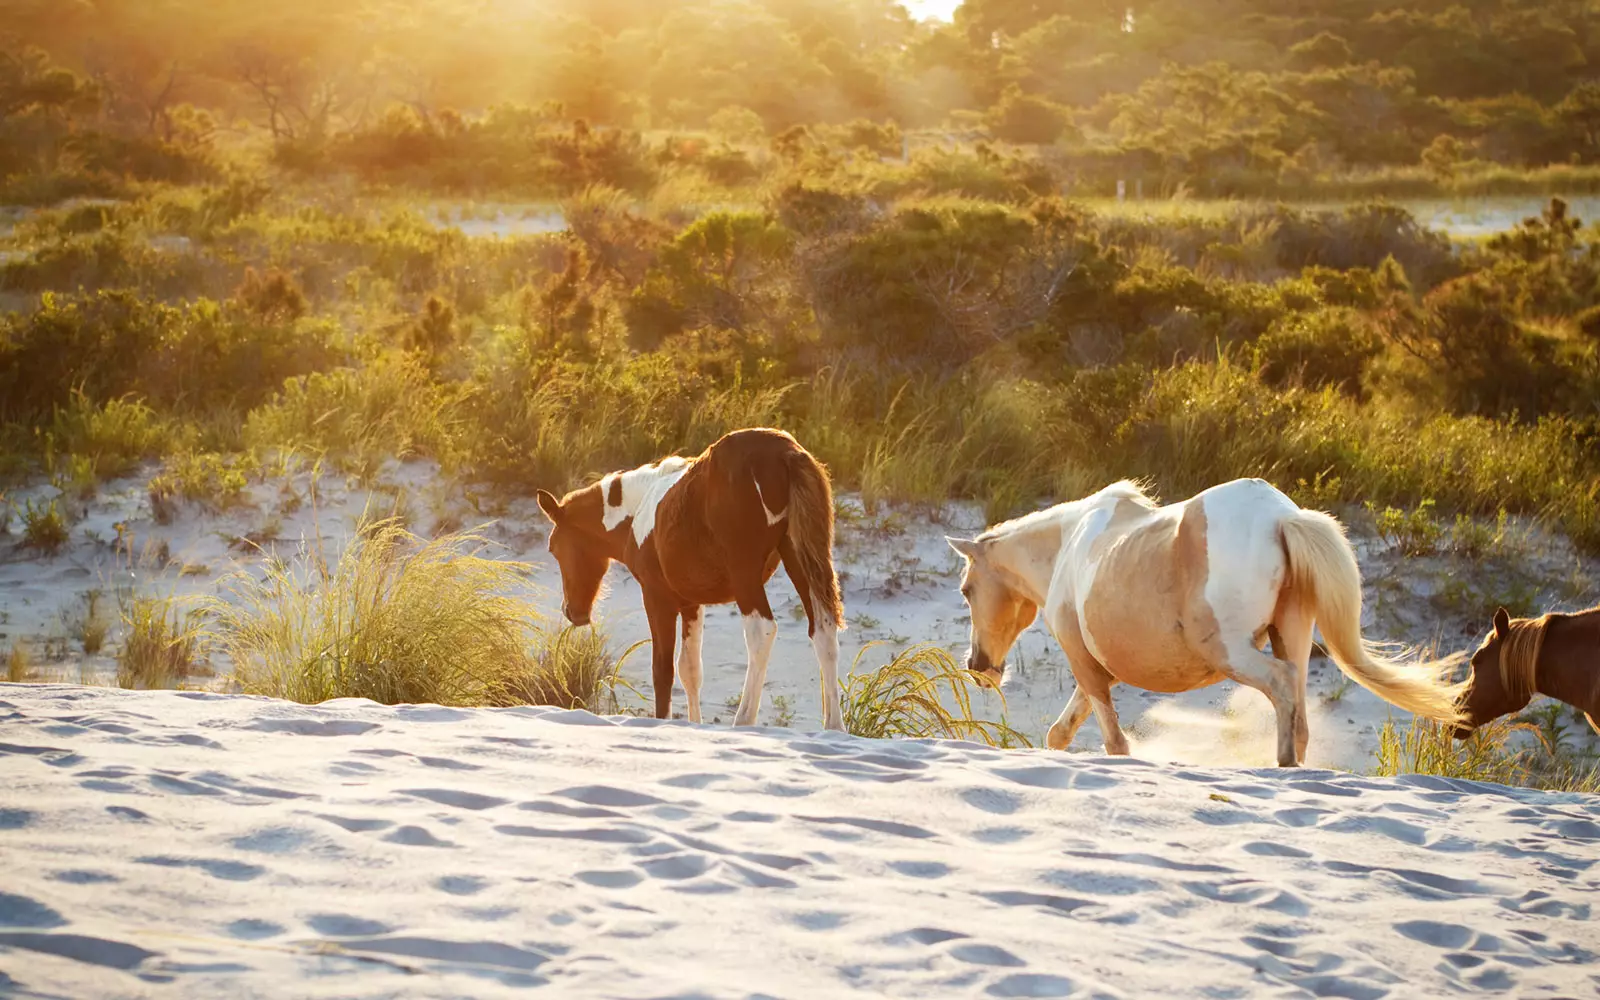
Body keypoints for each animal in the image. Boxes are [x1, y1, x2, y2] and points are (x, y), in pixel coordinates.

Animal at [534, 425, 851, 726]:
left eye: (553, 548)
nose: (572, 612)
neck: (639, 509)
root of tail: (786, 453)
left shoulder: (657, 597)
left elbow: (662, 671)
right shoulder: (691, 603)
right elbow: (690, 670)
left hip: (746, 575)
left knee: (762, 632)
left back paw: (743, 721)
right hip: (800, 560)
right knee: (823, 629)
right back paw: (834, 727)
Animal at [947, 476, 1465, 764]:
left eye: (967, 590)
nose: (978, 666)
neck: (1070, 545)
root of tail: (1282, 518)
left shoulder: (1084, 661)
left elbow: (1115, 743)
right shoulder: (1101, 670)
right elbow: (1061, 731)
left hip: (1231, 651)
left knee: (1280, 686)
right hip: (1291, 636)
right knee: (1297, 707)